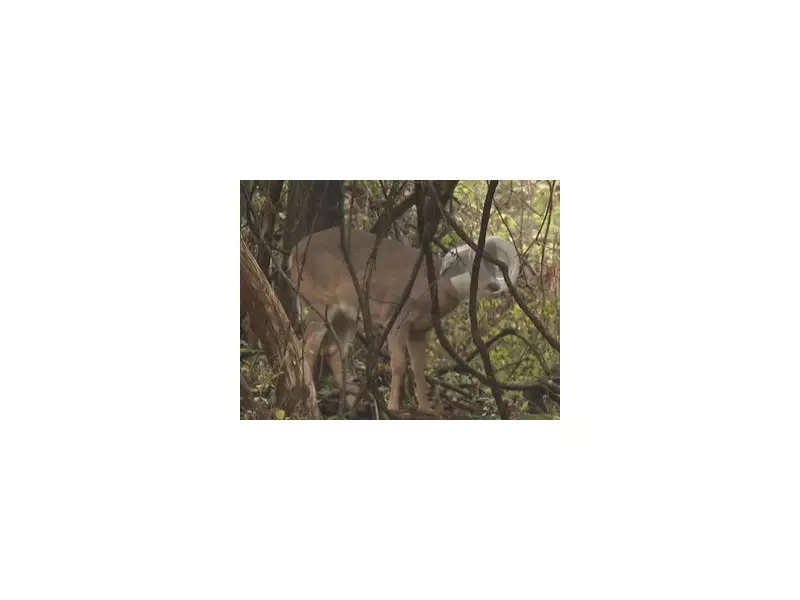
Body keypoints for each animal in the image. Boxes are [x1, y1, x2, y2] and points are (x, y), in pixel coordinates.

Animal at [288, 226, 519, 414]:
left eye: (495, 265)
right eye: (471, 265)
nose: (494, 286)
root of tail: (292, 253)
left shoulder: (419, 329)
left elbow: (418, 368)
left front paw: (426, 408)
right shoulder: (397, 315)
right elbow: (399, 364)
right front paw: (393, 407)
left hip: (347, 314)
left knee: (332, 350)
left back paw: (351, 398)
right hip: (318, 302)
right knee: (305, 348)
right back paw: (312, 403)